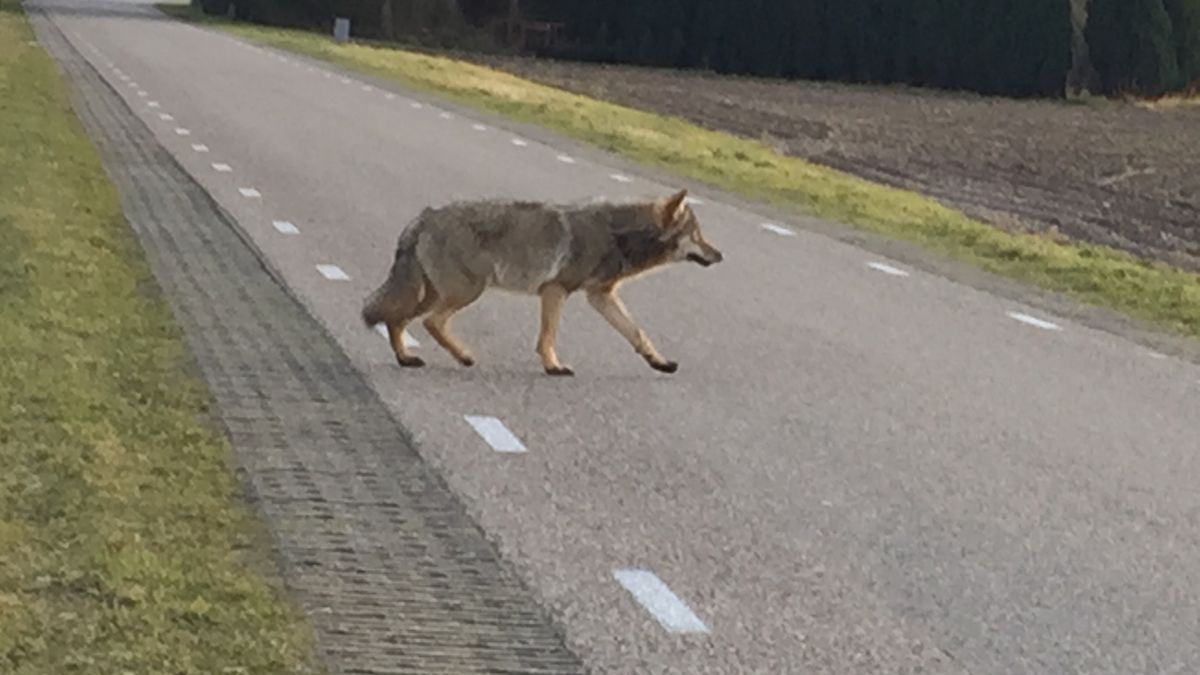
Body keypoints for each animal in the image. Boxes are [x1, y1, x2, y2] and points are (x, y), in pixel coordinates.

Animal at [360, 188, 723, 375]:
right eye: (697, 236)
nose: (720, 255)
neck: (619, 236)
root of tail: (424, 215)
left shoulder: (600, 296)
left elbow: (637, 332)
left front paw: (659, 362)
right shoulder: (556, 290)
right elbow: (548, 336)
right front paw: (554, 366)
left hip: (432, 293)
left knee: (397, 320)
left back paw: (406, 359)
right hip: (465, 292)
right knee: (428, 323)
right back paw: (463, 357)